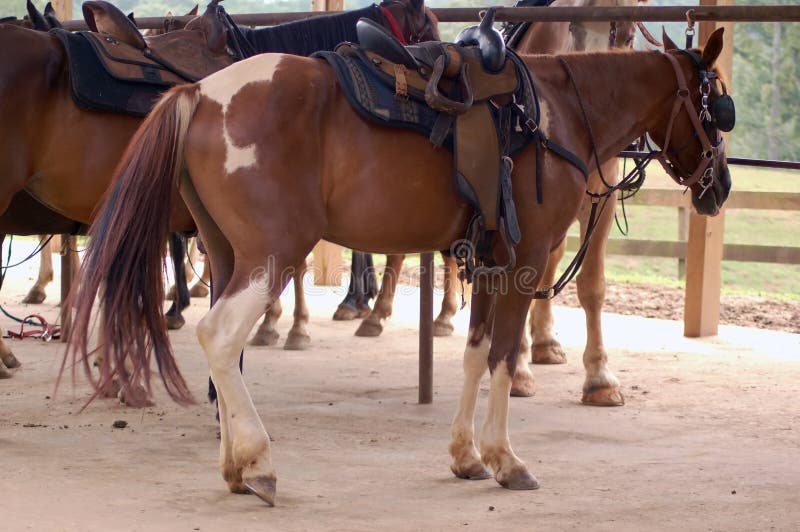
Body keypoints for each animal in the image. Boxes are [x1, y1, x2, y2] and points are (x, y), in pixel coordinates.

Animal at [67, 27, 731, 503]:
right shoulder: (525, 261)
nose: (720, 186)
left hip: (229, 255)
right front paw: (505, 459)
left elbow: (475, 352)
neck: (555, 113)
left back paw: (235, 465)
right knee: (219, 336)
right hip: (270, 255)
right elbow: (502, 355)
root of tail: (201, 94)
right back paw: (258, 462)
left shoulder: (489, 264)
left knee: (223, 351)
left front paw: (466, 456)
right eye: (717, 104)